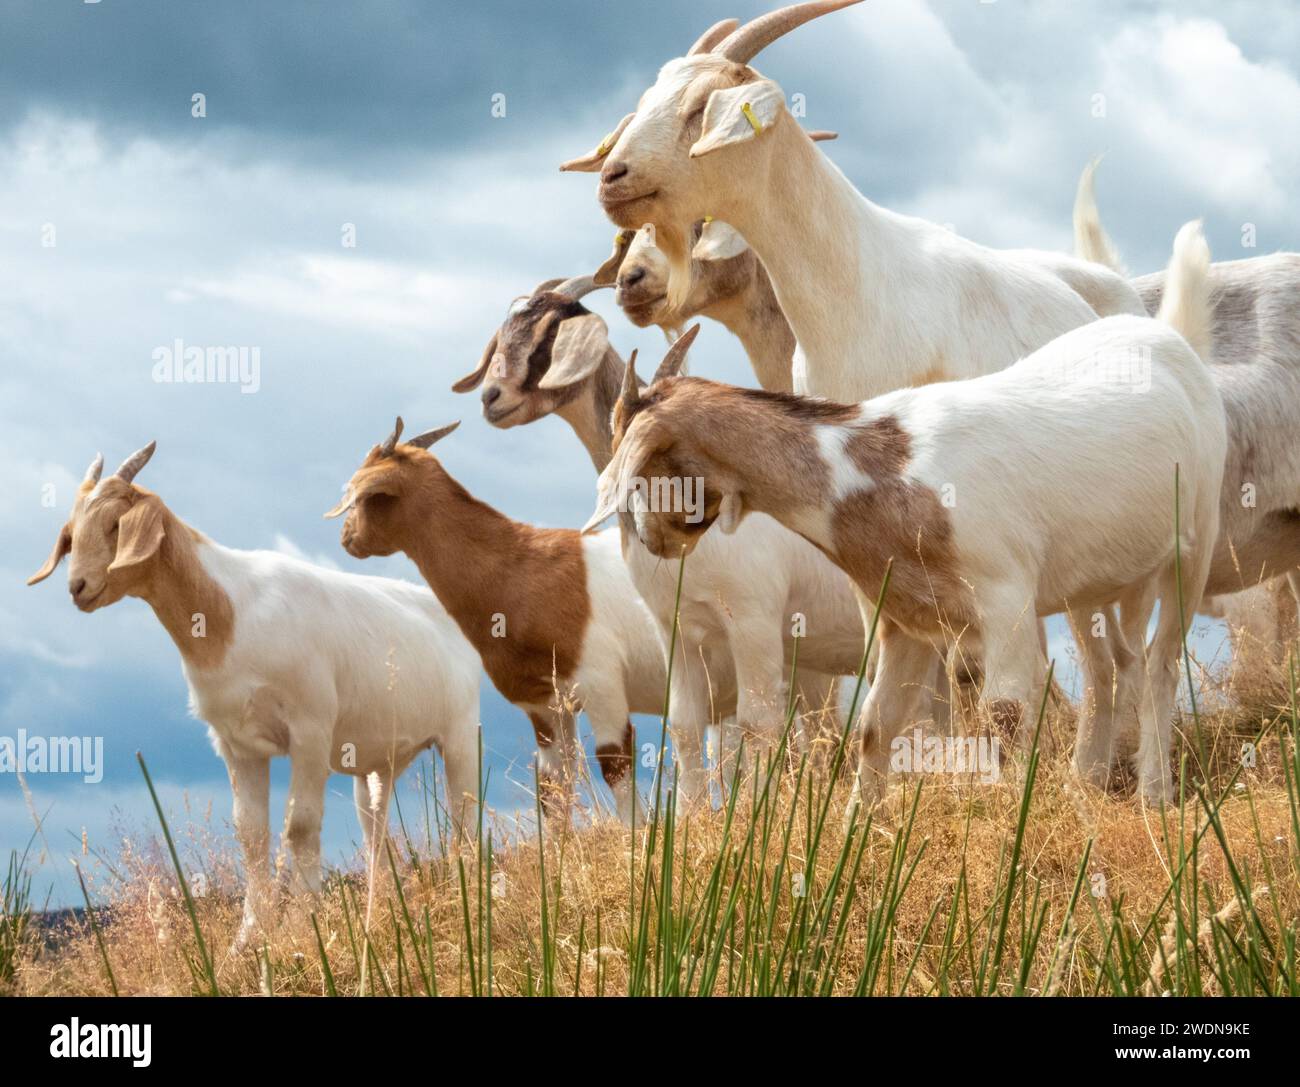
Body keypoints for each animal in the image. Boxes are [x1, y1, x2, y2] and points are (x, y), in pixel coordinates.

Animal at [28, 442, 482, 948]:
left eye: (114, 524)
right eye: (71, 533)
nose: (78, 588)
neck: (231, 615)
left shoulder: (310, 730)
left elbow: (300, 826)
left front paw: (304, 922)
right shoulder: (236, 743)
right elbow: (252, 832)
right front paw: (248, 937)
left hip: (461, 733)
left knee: (464, 812)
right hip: (375, 763)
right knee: (375, 827)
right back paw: (378, 911)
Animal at [326, 418, 668, 825]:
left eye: (363, 495)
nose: (347, 537)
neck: (524, 568)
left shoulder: (602, 685)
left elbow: (615, 762)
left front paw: (637, 835)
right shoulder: (543, 704)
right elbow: (554, 785)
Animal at [451, 276, 866, 805]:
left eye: (549, 335)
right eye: (503, 335)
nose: (491, 397)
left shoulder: (752, 621)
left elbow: (756, 727)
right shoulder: (676, 629)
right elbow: (688, 728)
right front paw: (693, 816)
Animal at [588, 223, 1226, 805]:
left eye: (640, 464)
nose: (655, 541)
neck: (881, 469)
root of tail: (1162, 336)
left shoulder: (1006, 600)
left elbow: (1004, 716)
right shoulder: (908, 618)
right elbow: (876, 726)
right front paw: (860, 823)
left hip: (1193, 544)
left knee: (1161, 662)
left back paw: (1154, 794)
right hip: (1102, 580)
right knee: (1120, 662)